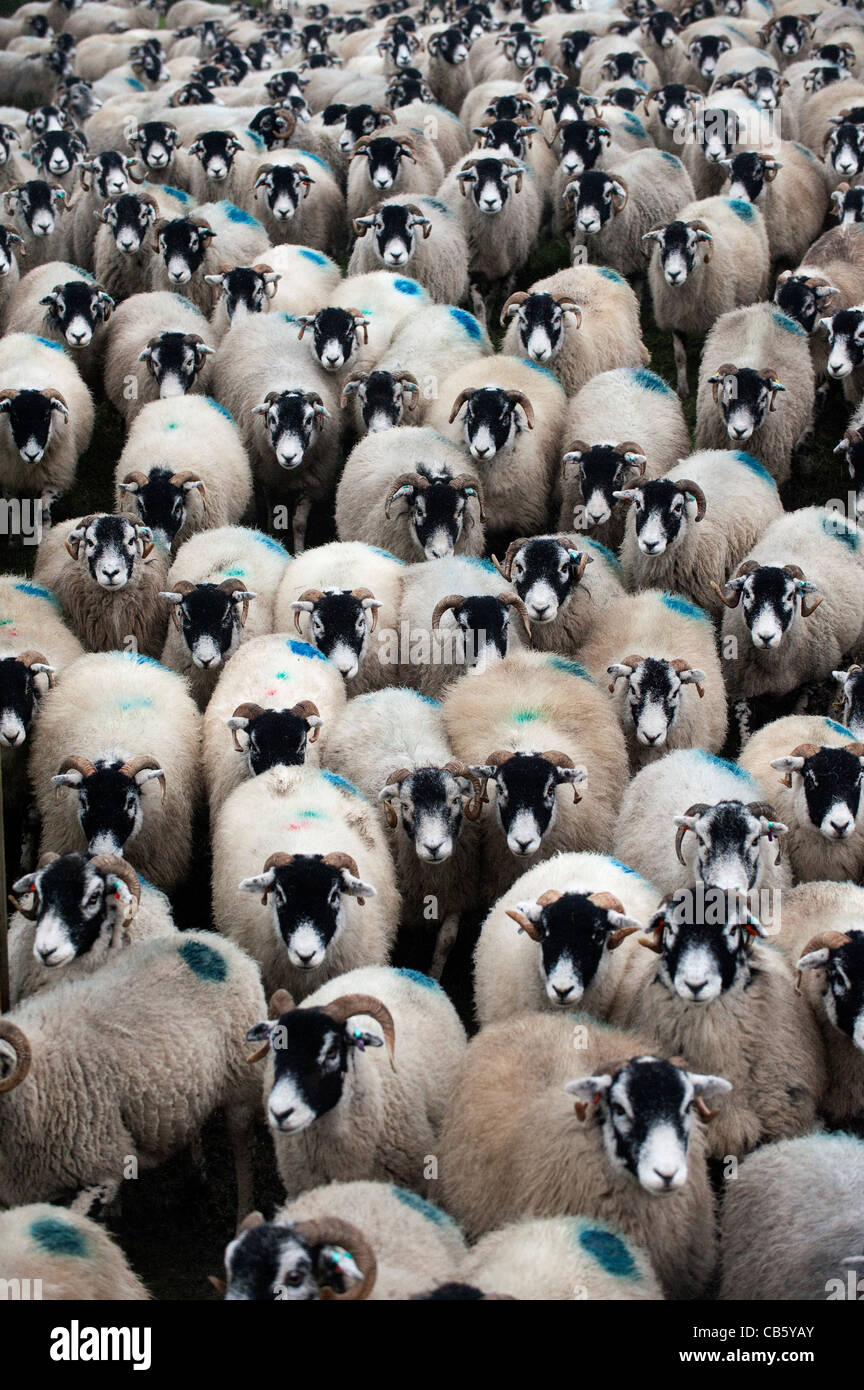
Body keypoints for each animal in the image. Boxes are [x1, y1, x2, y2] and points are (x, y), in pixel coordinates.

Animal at [0, 332, 94, 515]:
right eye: (15, 416)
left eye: (46, 416)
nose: (32, 455)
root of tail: (27, 335)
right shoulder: (7, 481)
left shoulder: (54, 480)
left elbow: (43, 509)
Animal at [0, 929, 265, 1223]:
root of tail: (214, 943)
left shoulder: (101, 1167)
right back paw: (197, 1173)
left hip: (242, 1084)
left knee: (243, 1150)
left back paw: (244, 1212)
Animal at [209, 312, 339, 556]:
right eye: (272, 419)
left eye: (309, 420)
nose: (289, 457)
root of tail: (263, 315)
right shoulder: (266, 478)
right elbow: (272, 515)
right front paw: (274, 538)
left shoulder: (312, 481)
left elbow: (299, 524)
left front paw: (298, 552)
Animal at [643, 195, 770, 397]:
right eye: (661, 244)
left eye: (692, 243)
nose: (673, 274)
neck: (685, 296)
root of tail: (726, 197)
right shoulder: (675, 319)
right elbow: (680, 356)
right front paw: (682, 389)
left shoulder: (713, 315)